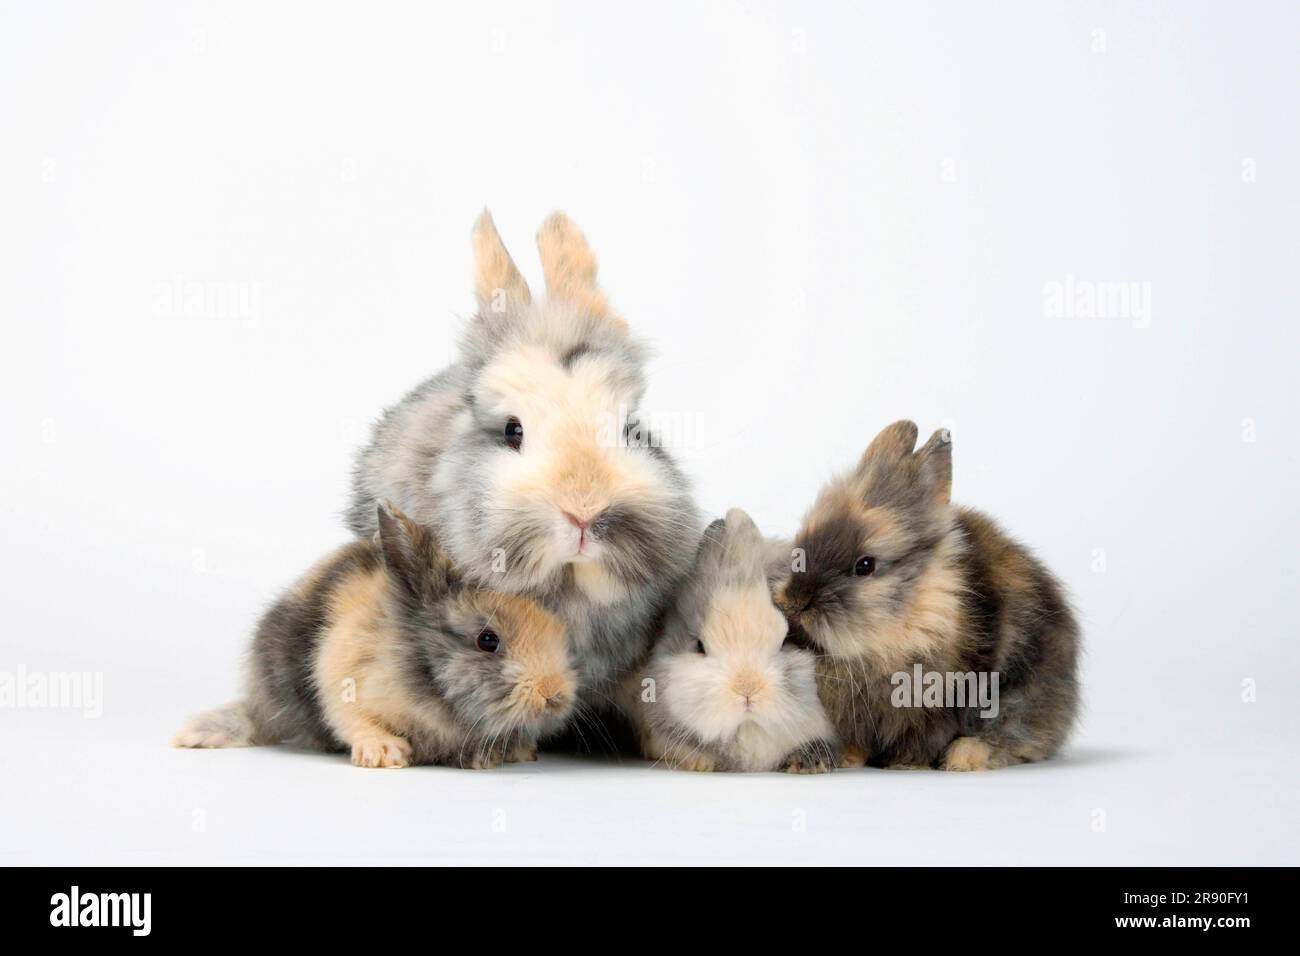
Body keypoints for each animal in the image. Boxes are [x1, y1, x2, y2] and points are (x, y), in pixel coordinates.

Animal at [173, 502, 576, 768]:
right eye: (487, 640)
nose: (554, 695)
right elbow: (352, 719)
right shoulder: (342, 678)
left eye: (560, 632)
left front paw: (503, 754)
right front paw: (385, 753)